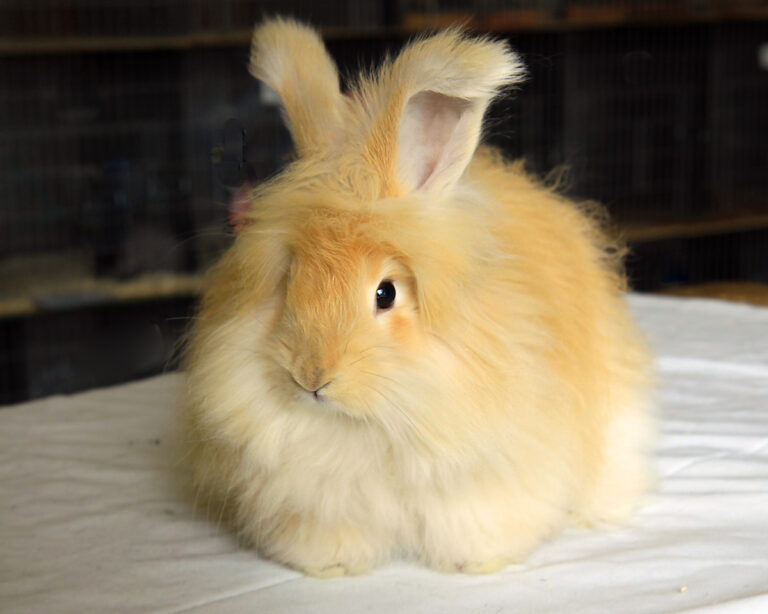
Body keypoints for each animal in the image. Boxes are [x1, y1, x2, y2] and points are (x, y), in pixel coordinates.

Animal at [179, 17, 655, 578]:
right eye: (289, 281)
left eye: (385, 293)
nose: (311, 377)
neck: (374, 422)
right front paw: (332, 566)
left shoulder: (487, 479)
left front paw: (477, 563)